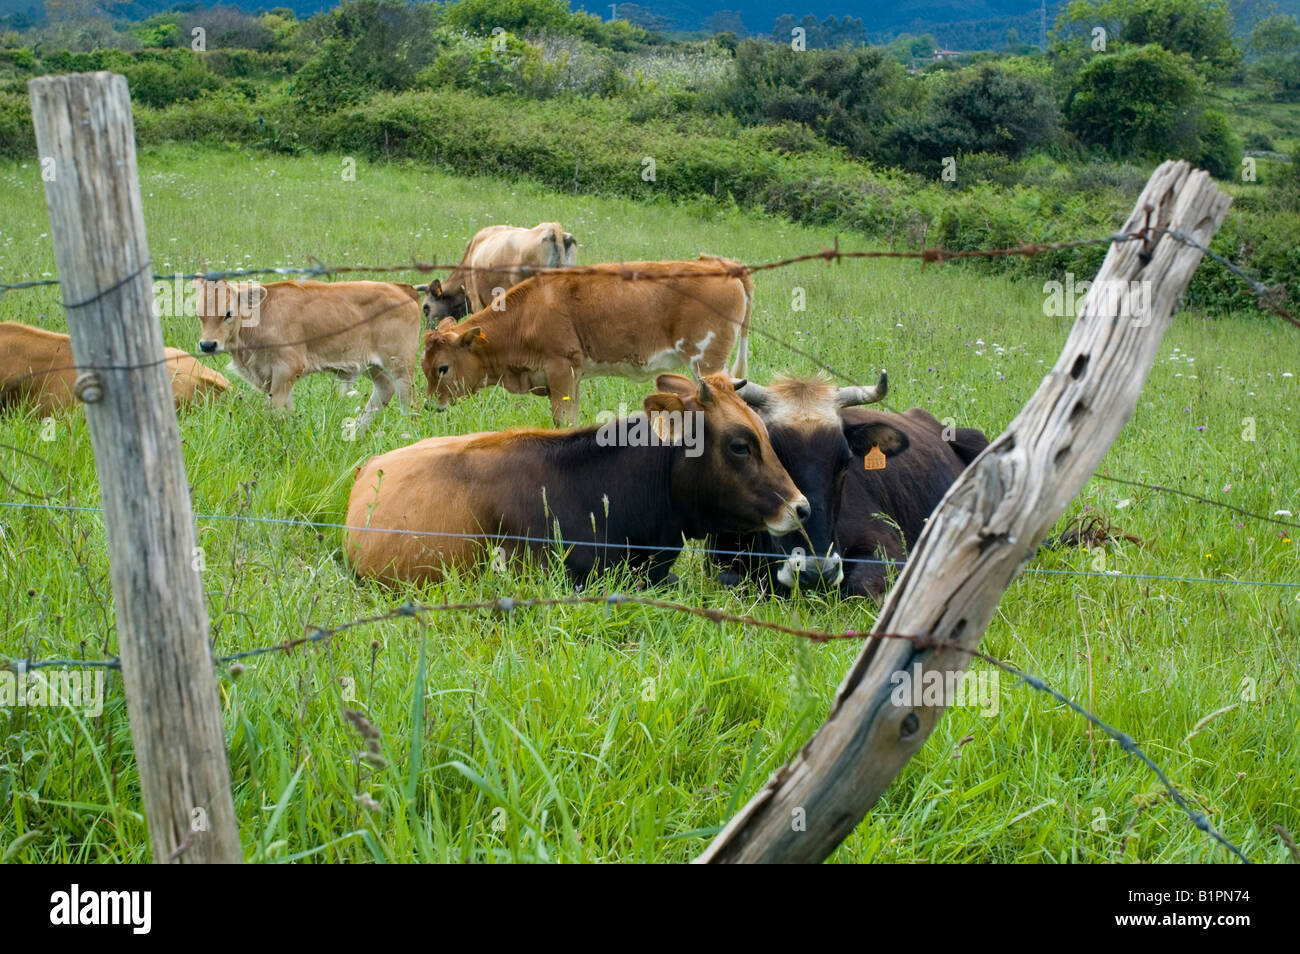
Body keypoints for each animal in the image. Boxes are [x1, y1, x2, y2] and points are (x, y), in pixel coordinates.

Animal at [194, 278, 421, 430]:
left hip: (400, 365)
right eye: (199, 314)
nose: (208, 345)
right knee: (385, 389)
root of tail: (400, 288)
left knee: (408, 400)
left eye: (228, 313)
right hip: (372, 365)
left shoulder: (286, 368)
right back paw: (356, 431)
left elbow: (274, 410)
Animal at [422, 257, 752, 426]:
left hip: (707, 362)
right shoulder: (573, 376)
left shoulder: (561, 371)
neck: (526, 315)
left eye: (442, 368)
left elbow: (563, 421)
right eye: (424, 367)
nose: (428, 405)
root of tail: (721, 263)